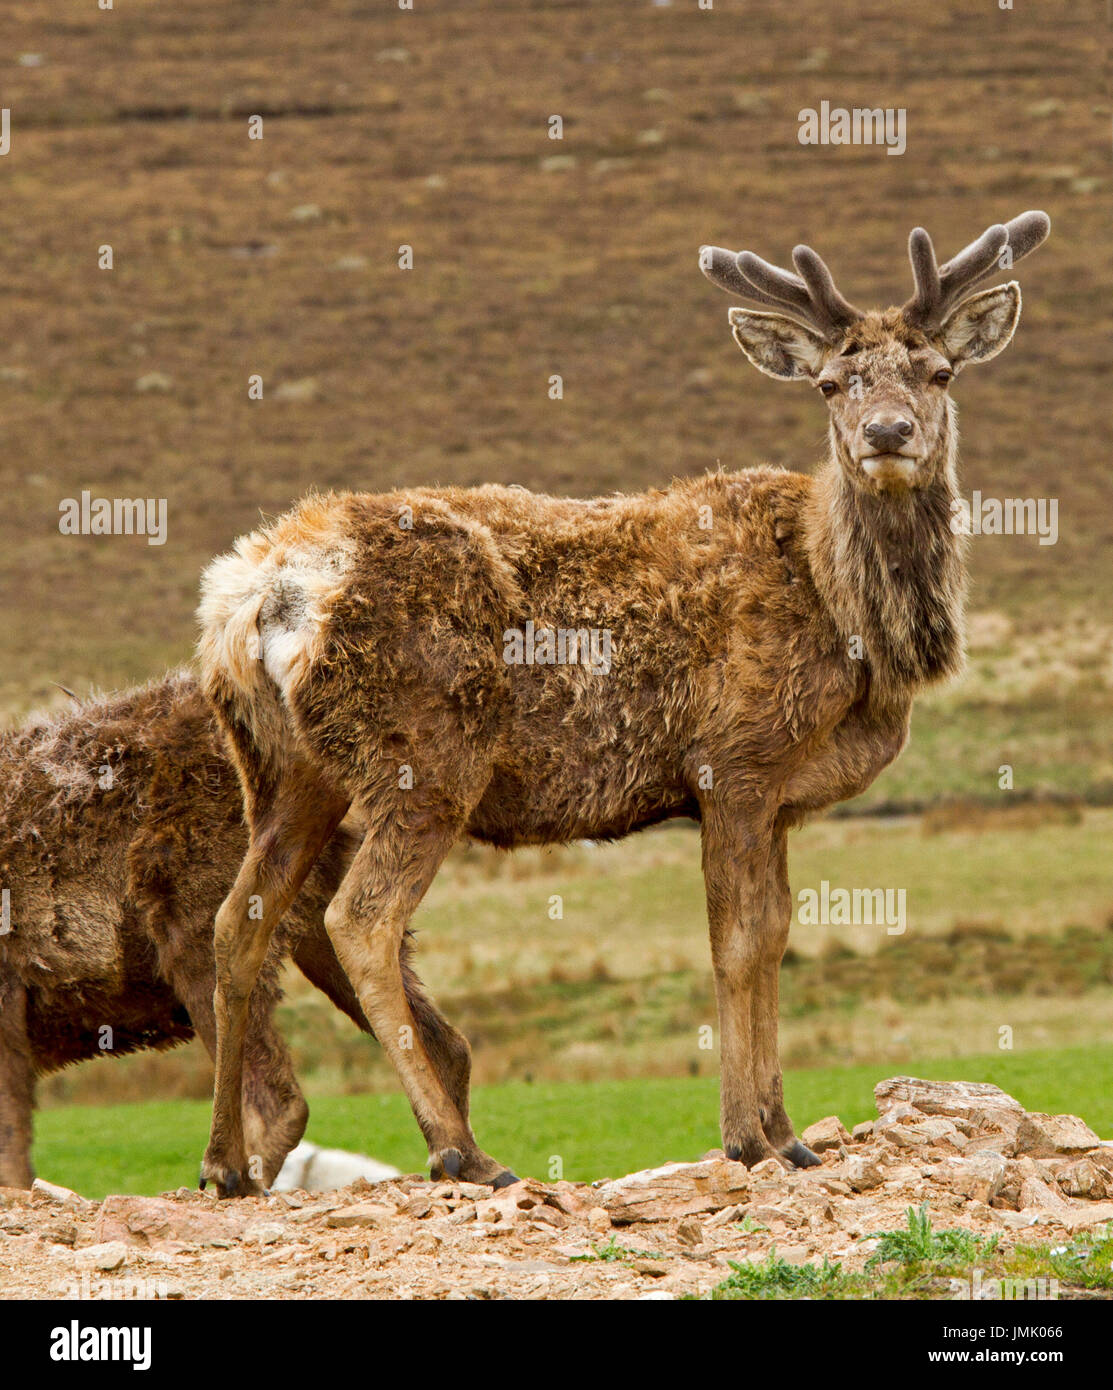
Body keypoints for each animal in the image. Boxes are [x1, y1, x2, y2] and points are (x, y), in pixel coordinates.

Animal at [0, 670, 472, 1188]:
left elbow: (12, 1156)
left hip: (196, 925)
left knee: (277, 1101)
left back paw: (232, 1181)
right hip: (319, 917)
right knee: (443, 1041)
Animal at [195, 211, 1050, 1196]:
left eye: (938, 372)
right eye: (830, 383)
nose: (884, 431)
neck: (849, 623)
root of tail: (258, 596)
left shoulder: (778, 797)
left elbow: (775, 936)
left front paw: (784, 1131)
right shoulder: (734, 759)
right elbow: (738, 942)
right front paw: (752, 1138)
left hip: (283, 770)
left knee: (237, 922)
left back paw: (226, 1164)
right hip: (425, 755)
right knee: (359, 920)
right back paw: (461, 1150)